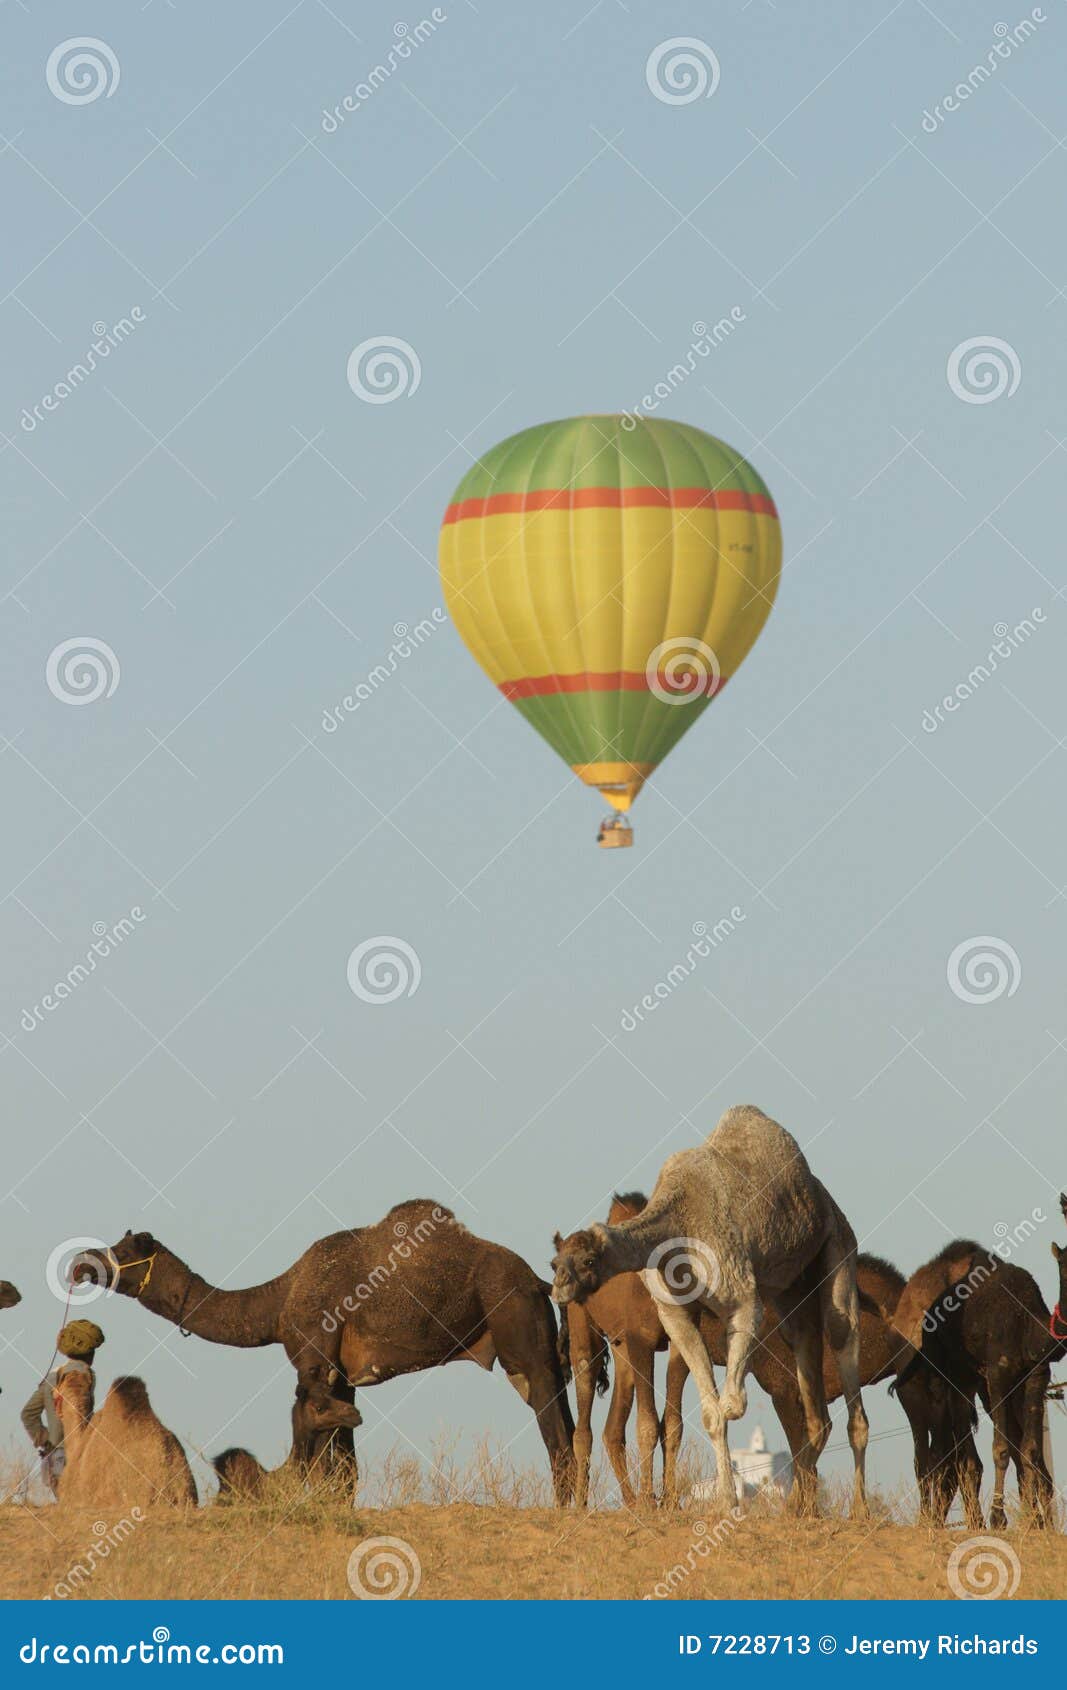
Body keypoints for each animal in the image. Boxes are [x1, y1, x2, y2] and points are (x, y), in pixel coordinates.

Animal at [78, 1199, 575, 1503]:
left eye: (123, 1250)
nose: (81, 1264)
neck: (279, 1302)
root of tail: (538, 1281)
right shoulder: (342, 1376)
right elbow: (345, 1465)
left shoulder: (314, 1360)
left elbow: (315, 1441)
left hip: (515, 1320)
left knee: (553, 1424)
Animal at [552, 1105, 869, 1516]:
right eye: (554, 1262)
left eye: (589, 1260)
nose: (559, 1289)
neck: (677, 1225)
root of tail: (818, 1191)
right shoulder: (675, 1316)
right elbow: (710, 1412)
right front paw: (726, 1501)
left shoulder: (743, 1302)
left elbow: (732, 1403)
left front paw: (733, 1497)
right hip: (790, 1287)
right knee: (807, 1360)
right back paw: (801, 1503)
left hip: (838, 1241)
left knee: (842, 1333)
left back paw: (856, 1508)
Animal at [560, 1196, 929, 1511]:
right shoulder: (781, 1383)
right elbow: (802, 1443)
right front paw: (799, 1508)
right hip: (593, 1335)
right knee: (590, 1417)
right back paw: (592, 1504)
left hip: (630, 1345)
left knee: (619, 1427)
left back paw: (637, 1500)